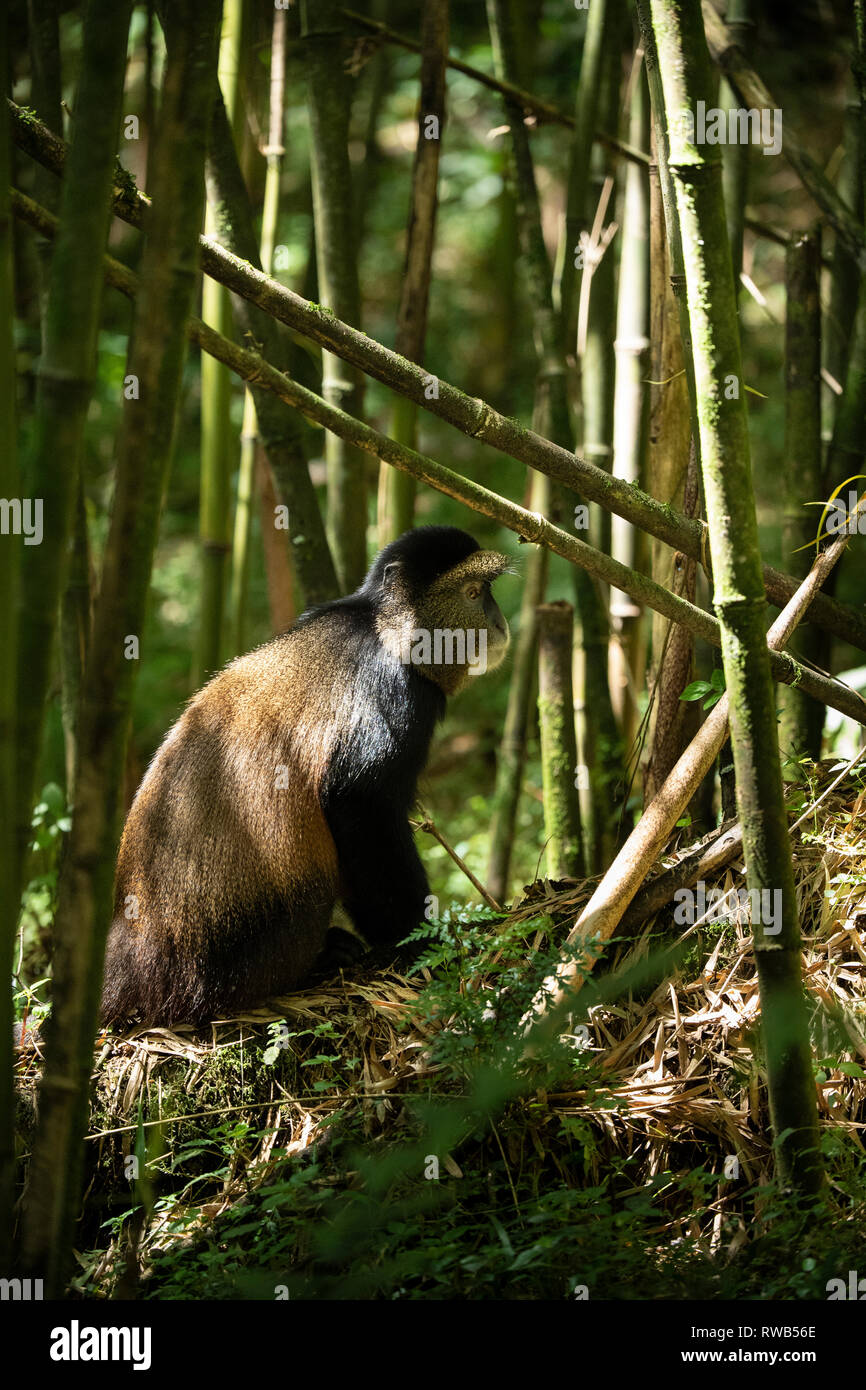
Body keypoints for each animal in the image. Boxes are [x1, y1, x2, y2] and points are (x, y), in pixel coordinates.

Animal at [100, 526, 510, 1027]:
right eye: (473, 592)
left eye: (488, 590)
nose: (500, 623)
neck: (383, 627)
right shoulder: (395, 693)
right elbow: (360, 804)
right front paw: (421, 942)